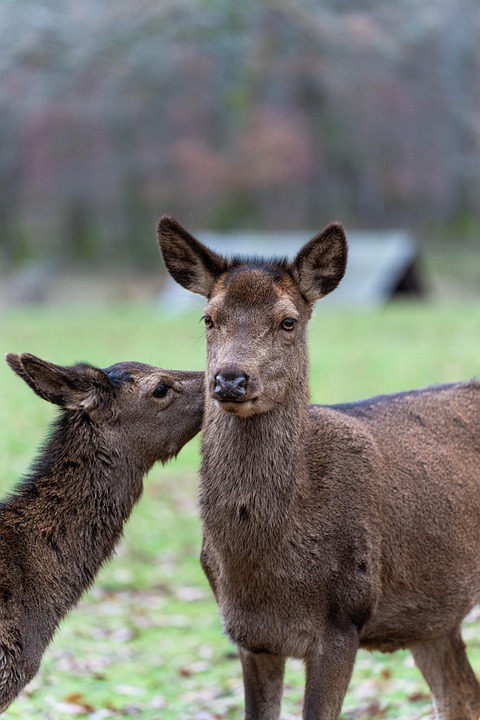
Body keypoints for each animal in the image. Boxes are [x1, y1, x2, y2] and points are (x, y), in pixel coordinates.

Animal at [158, 215, 480, 720]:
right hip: (433, 618)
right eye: (208, 318)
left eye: (288, 320)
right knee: (460, 693)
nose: (229, 379)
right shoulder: (249, 636)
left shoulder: (344, 620)